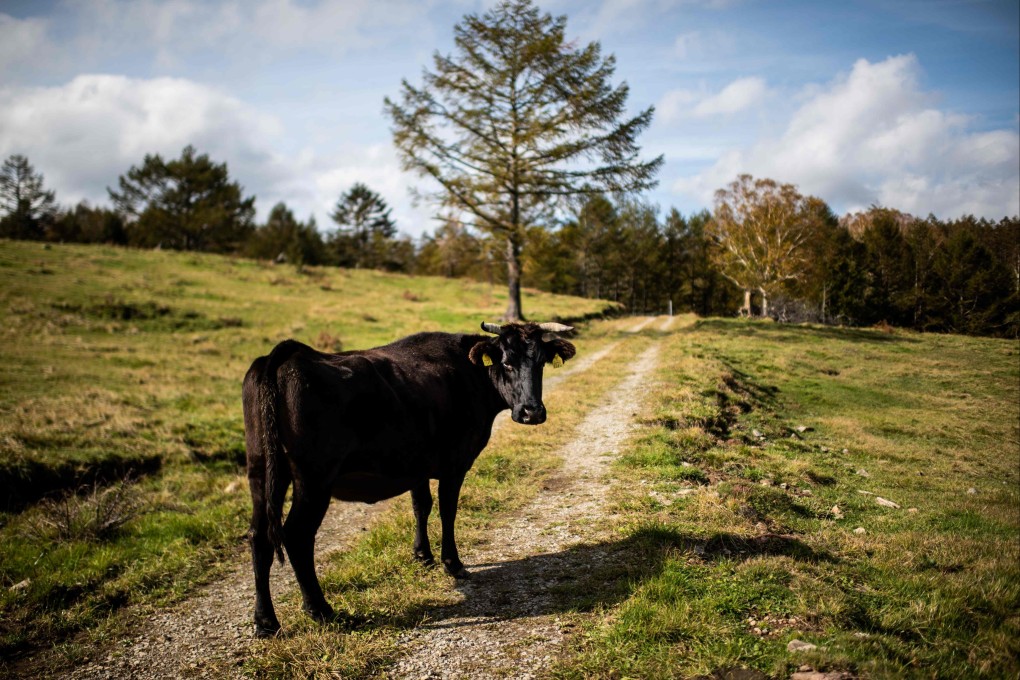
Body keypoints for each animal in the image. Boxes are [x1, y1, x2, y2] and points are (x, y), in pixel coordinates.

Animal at [242, 321, 576, 637]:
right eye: (506, 362)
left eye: (541, 362)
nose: (532, 412)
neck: (469, 376)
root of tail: (289, 355)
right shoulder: (454, 463)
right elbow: (447, 511)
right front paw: (452, 563)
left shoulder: (417, 463)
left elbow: (421, 506)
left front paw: (423, 556)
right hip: (313, 480)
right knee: (297, 535)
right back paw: (321, 610)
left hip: (261, 472)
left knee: (259, 537)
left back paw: (266, 622)